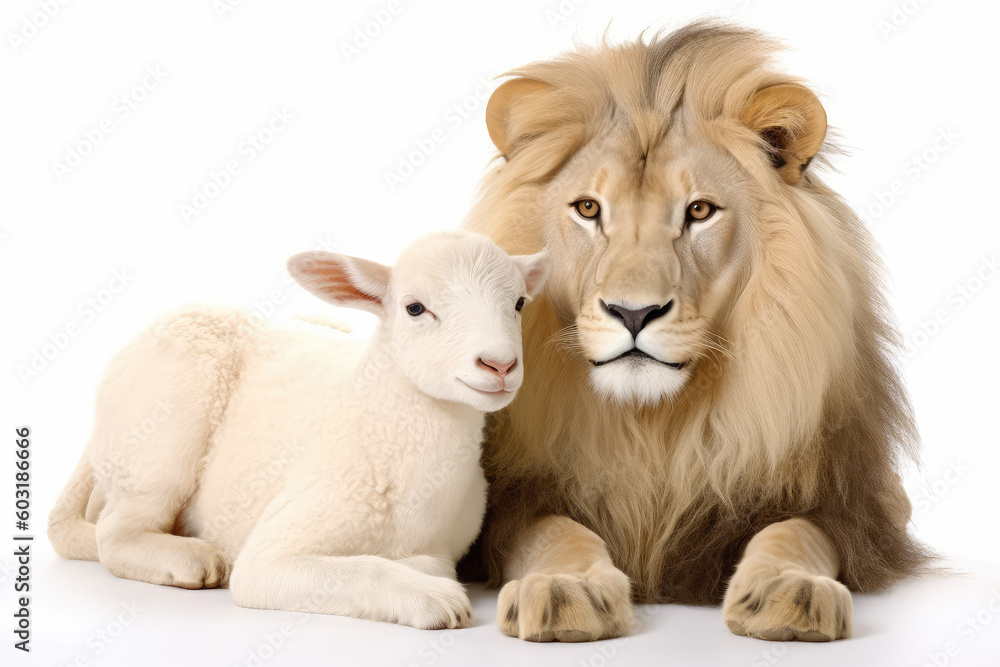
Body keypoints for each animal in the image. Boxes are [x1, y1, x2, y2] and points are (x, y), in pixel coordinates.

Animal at [47, 231, 547, 630]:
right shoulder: (275, 550)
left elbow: (434, 561)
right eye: (415, 308)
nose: (500, 365)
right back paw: (192, 560)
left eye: (519, 304)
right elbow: (360, 570)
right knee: (114, 533)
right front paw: (431, 597)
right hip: (163, 431)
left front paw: (423, 569)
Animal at [458, 21, 933, 643]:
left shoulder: (855, 505)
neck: (656, 426)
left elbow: (794, 530)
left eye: (700, 211)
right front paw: (568, 590)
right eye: (588, 209)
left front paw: (791, 592)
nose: (634, 313)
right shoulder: (514, 503)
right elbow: (555, 530)